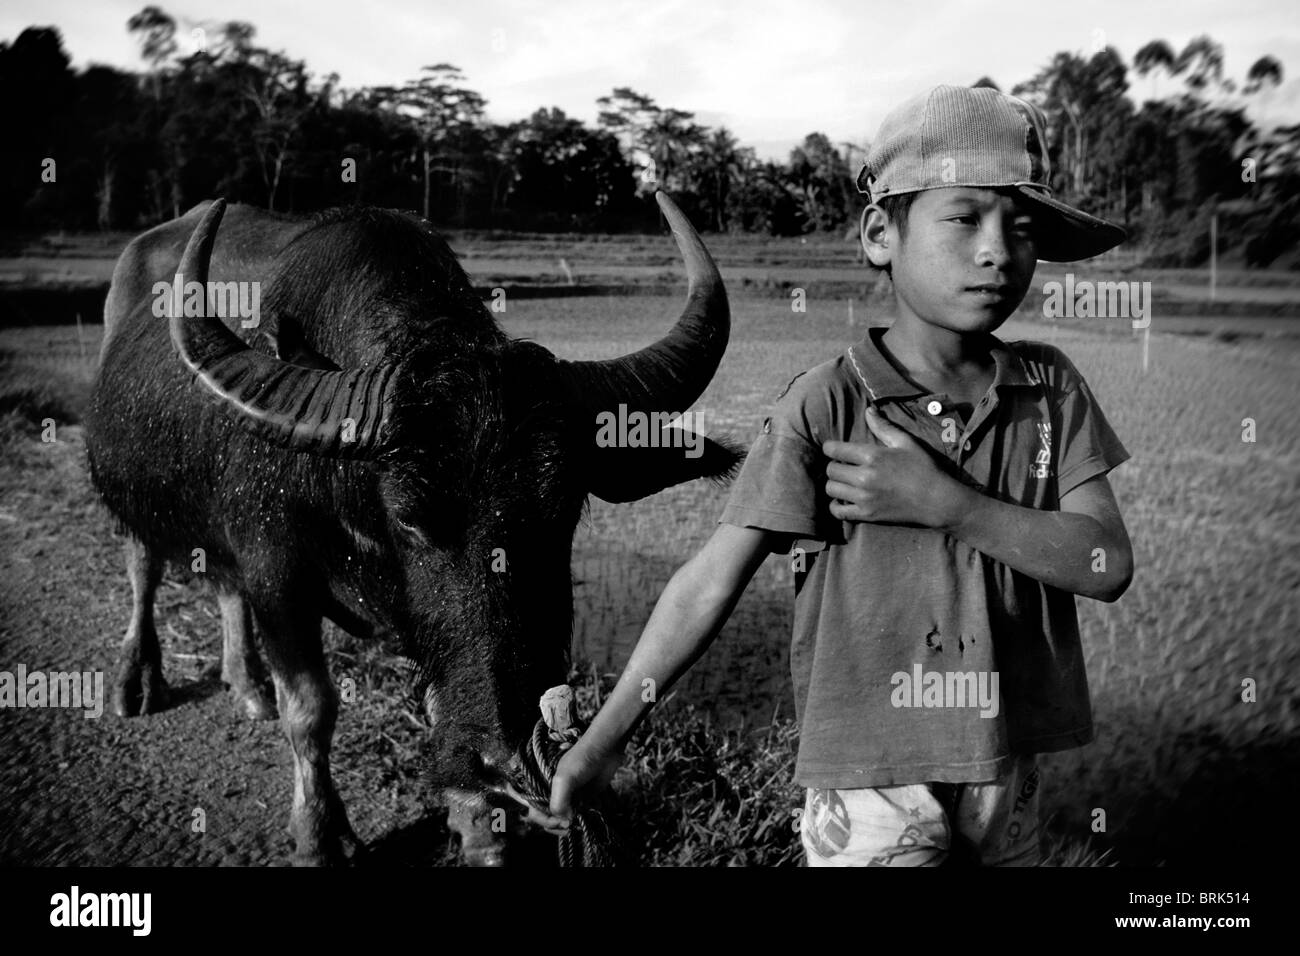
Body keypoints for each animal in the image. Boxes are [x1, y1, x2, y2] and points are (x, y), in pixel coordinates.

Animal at [84, 191, 737, 865]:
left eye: (565, 508)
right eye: (407, 516)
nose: (509, 761)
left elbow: (440, 702)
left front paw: (480, 832)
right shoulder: (277, 578)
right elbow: (311, 709)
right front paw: (319, 834)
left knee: (221, 586)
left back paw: (247, 685)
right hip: (126, 492)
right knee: (143, 567)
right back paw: (136, 680)